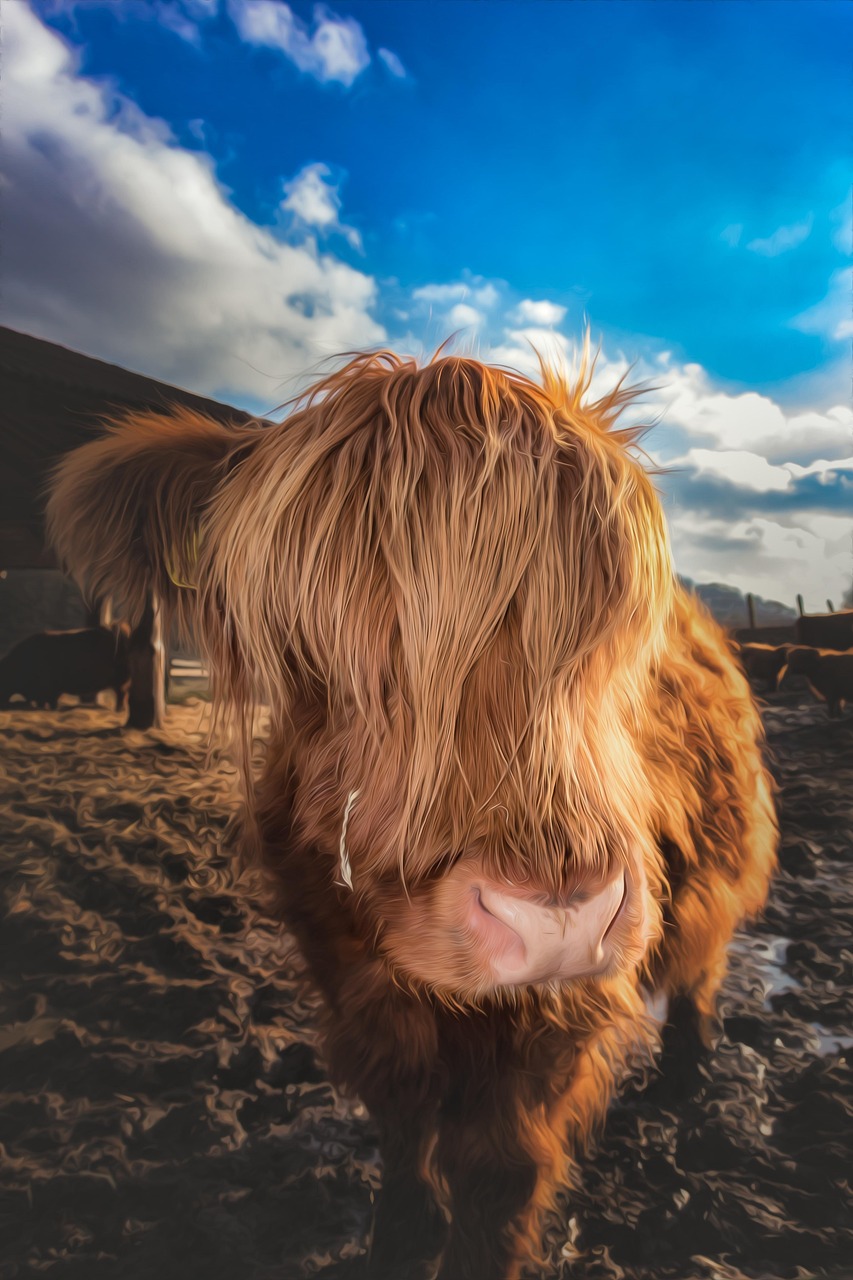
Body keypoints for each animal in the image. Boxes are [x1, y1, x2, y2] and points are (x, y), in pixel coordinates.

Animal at [46, 352, 778, 1280]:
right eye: (321, 639)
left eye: (614, 639)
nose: (556, 919)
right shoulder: (345, 969)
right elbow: (402, 1121)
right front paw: (401, 1235)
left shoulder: (557, 1011)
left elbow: (498, 1167)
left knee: (701, 960)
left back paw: (690, 1071)